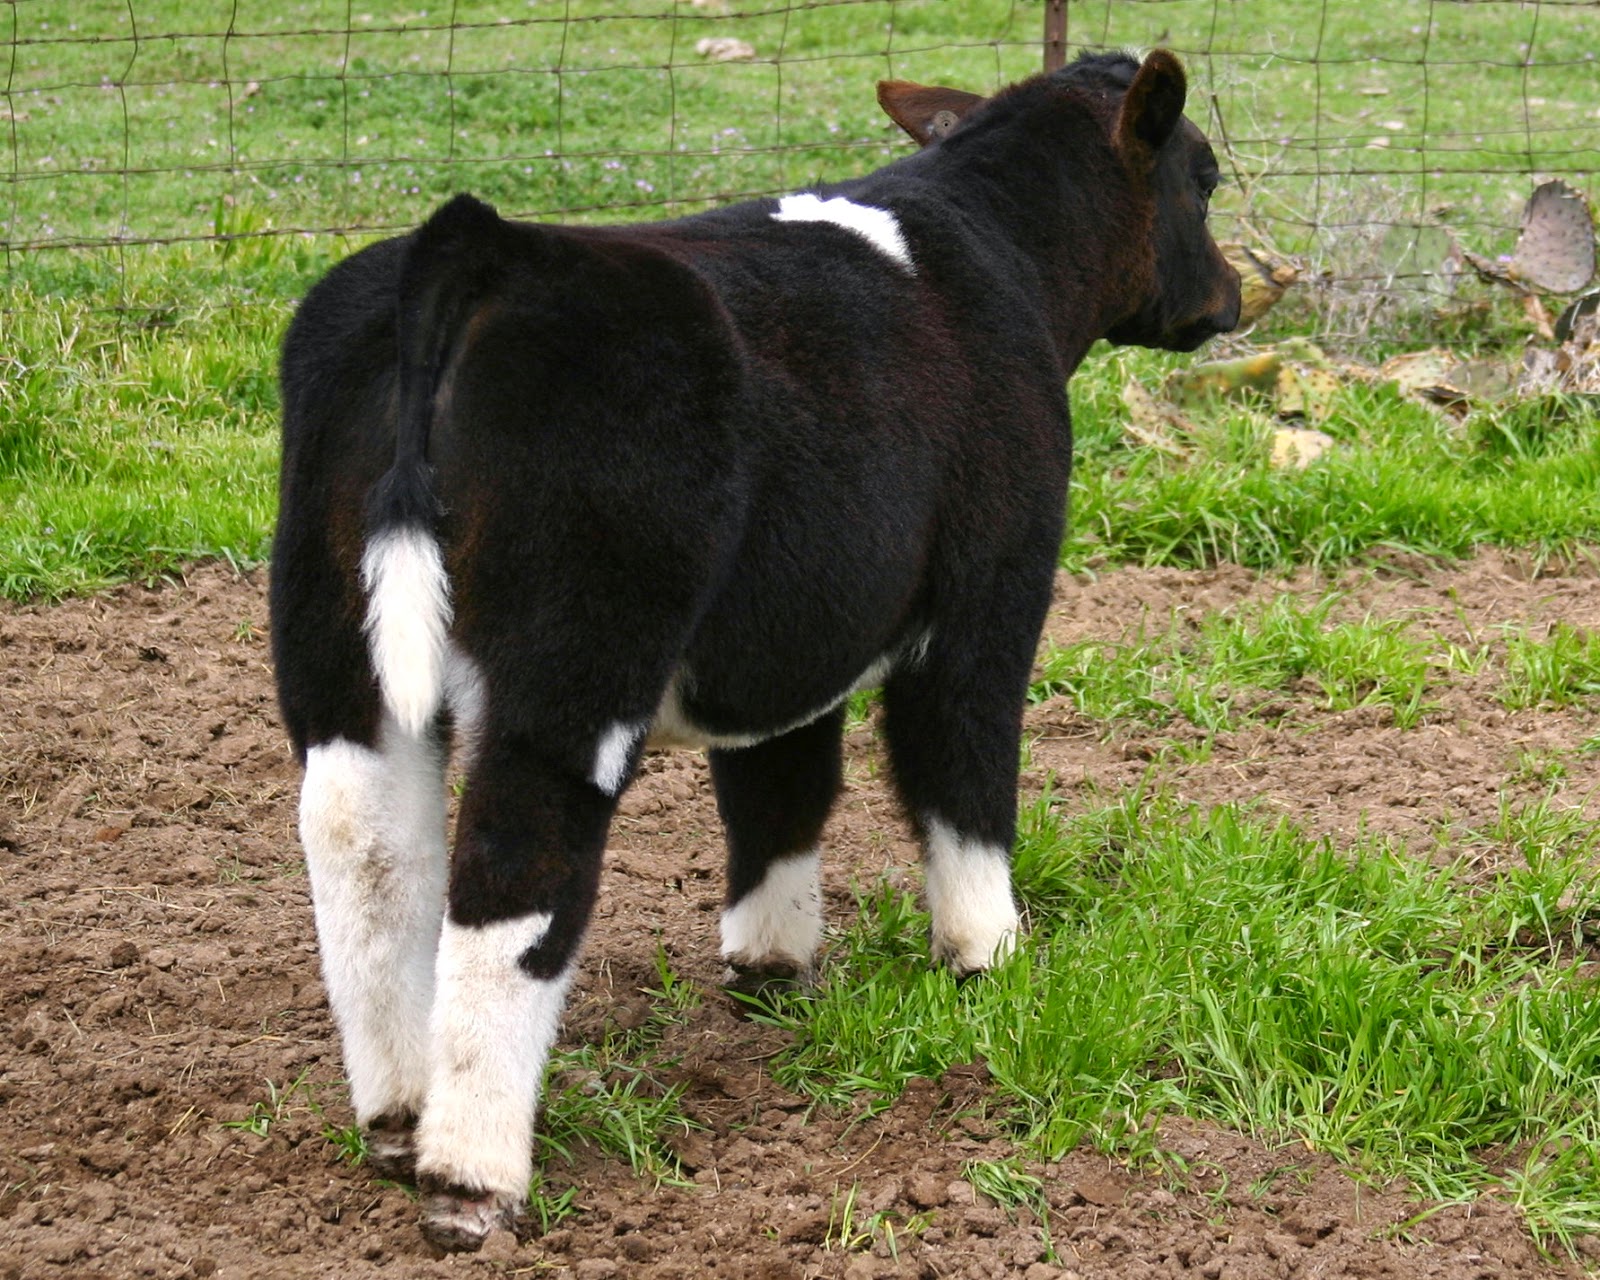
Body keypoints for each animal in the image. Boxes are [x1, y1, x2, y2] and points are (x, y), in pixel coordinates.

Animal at [270, 48, 1240, 1251]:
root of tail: (484, 244)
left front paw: (772, 964)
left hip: (334, 653)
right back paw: (473, 1174)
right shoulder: (988, 602)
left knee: (360, 847)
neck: (994, 254)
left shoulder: (791, 636)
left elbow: (779, 788)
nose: (1232, 297)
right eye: (1205, 176)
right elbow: (962, 781)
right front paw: (988, 956)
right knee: (515, 869)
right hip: (572, 664)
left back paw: (401, 1121)